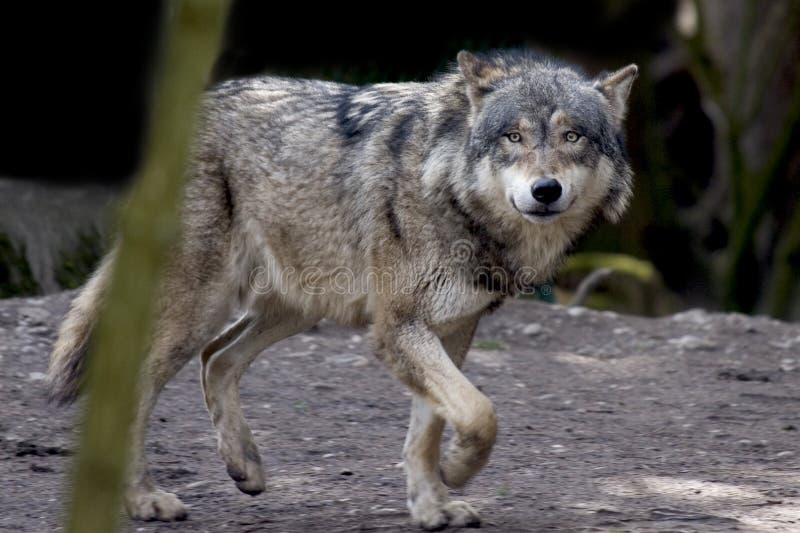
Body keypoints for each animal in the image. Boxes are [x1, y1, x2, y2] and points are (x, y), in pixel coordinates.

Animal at [47, 50, 636, 529]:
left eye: (573, 136)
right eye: (513, 136)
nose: (545, 190)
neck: (449, 192)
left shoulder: (452, 329)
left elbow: (431, 428)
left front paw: (433, 505)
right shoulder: (397, 328)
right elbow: (478, 414)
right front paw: (456, 471)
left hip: (295, 308)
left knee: (217, 358)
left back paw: (244, 465)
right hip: (202, 306)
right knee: (139, 383)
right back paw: (143, 499)